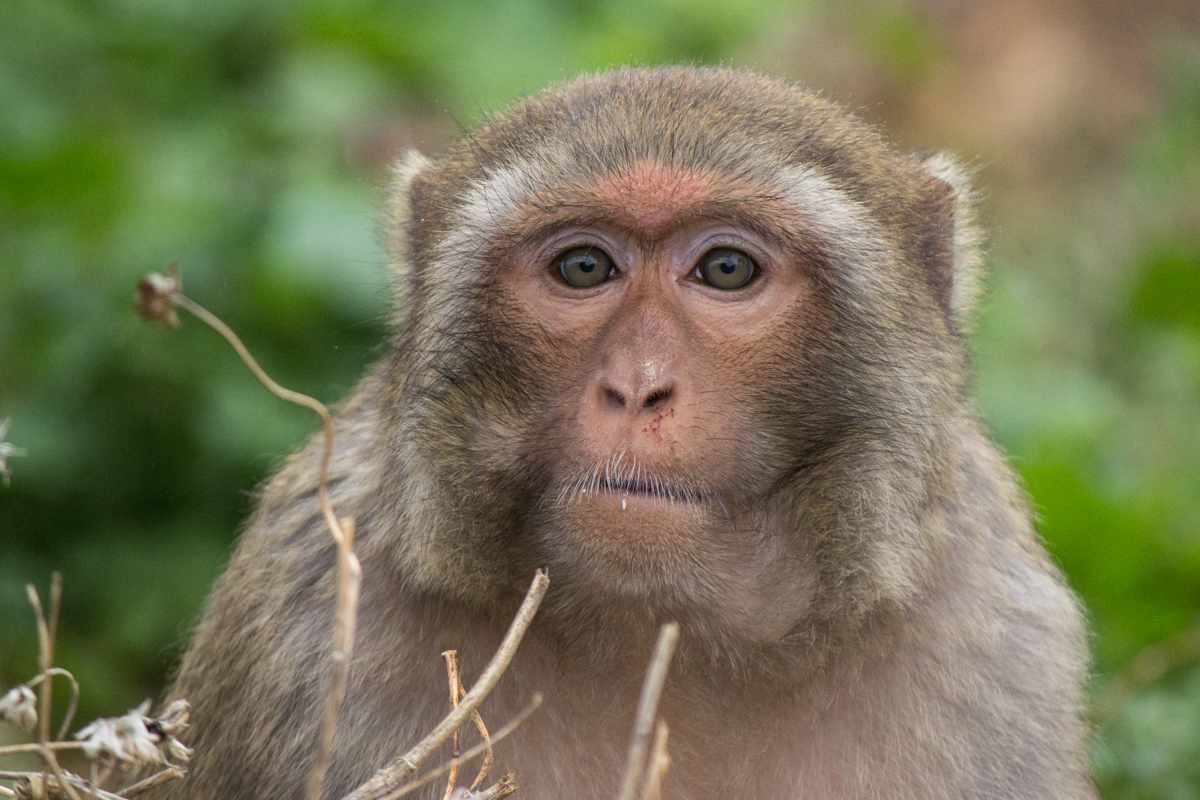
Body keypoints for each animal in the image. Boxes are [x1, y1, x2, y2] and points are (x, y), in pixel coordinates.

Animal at [159, 66, 1093, 800]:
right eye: (584, 268)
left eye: (726, 269)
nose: (637, 387)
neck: (669, 641)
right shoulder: (306, 618)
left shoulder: (998, 656)